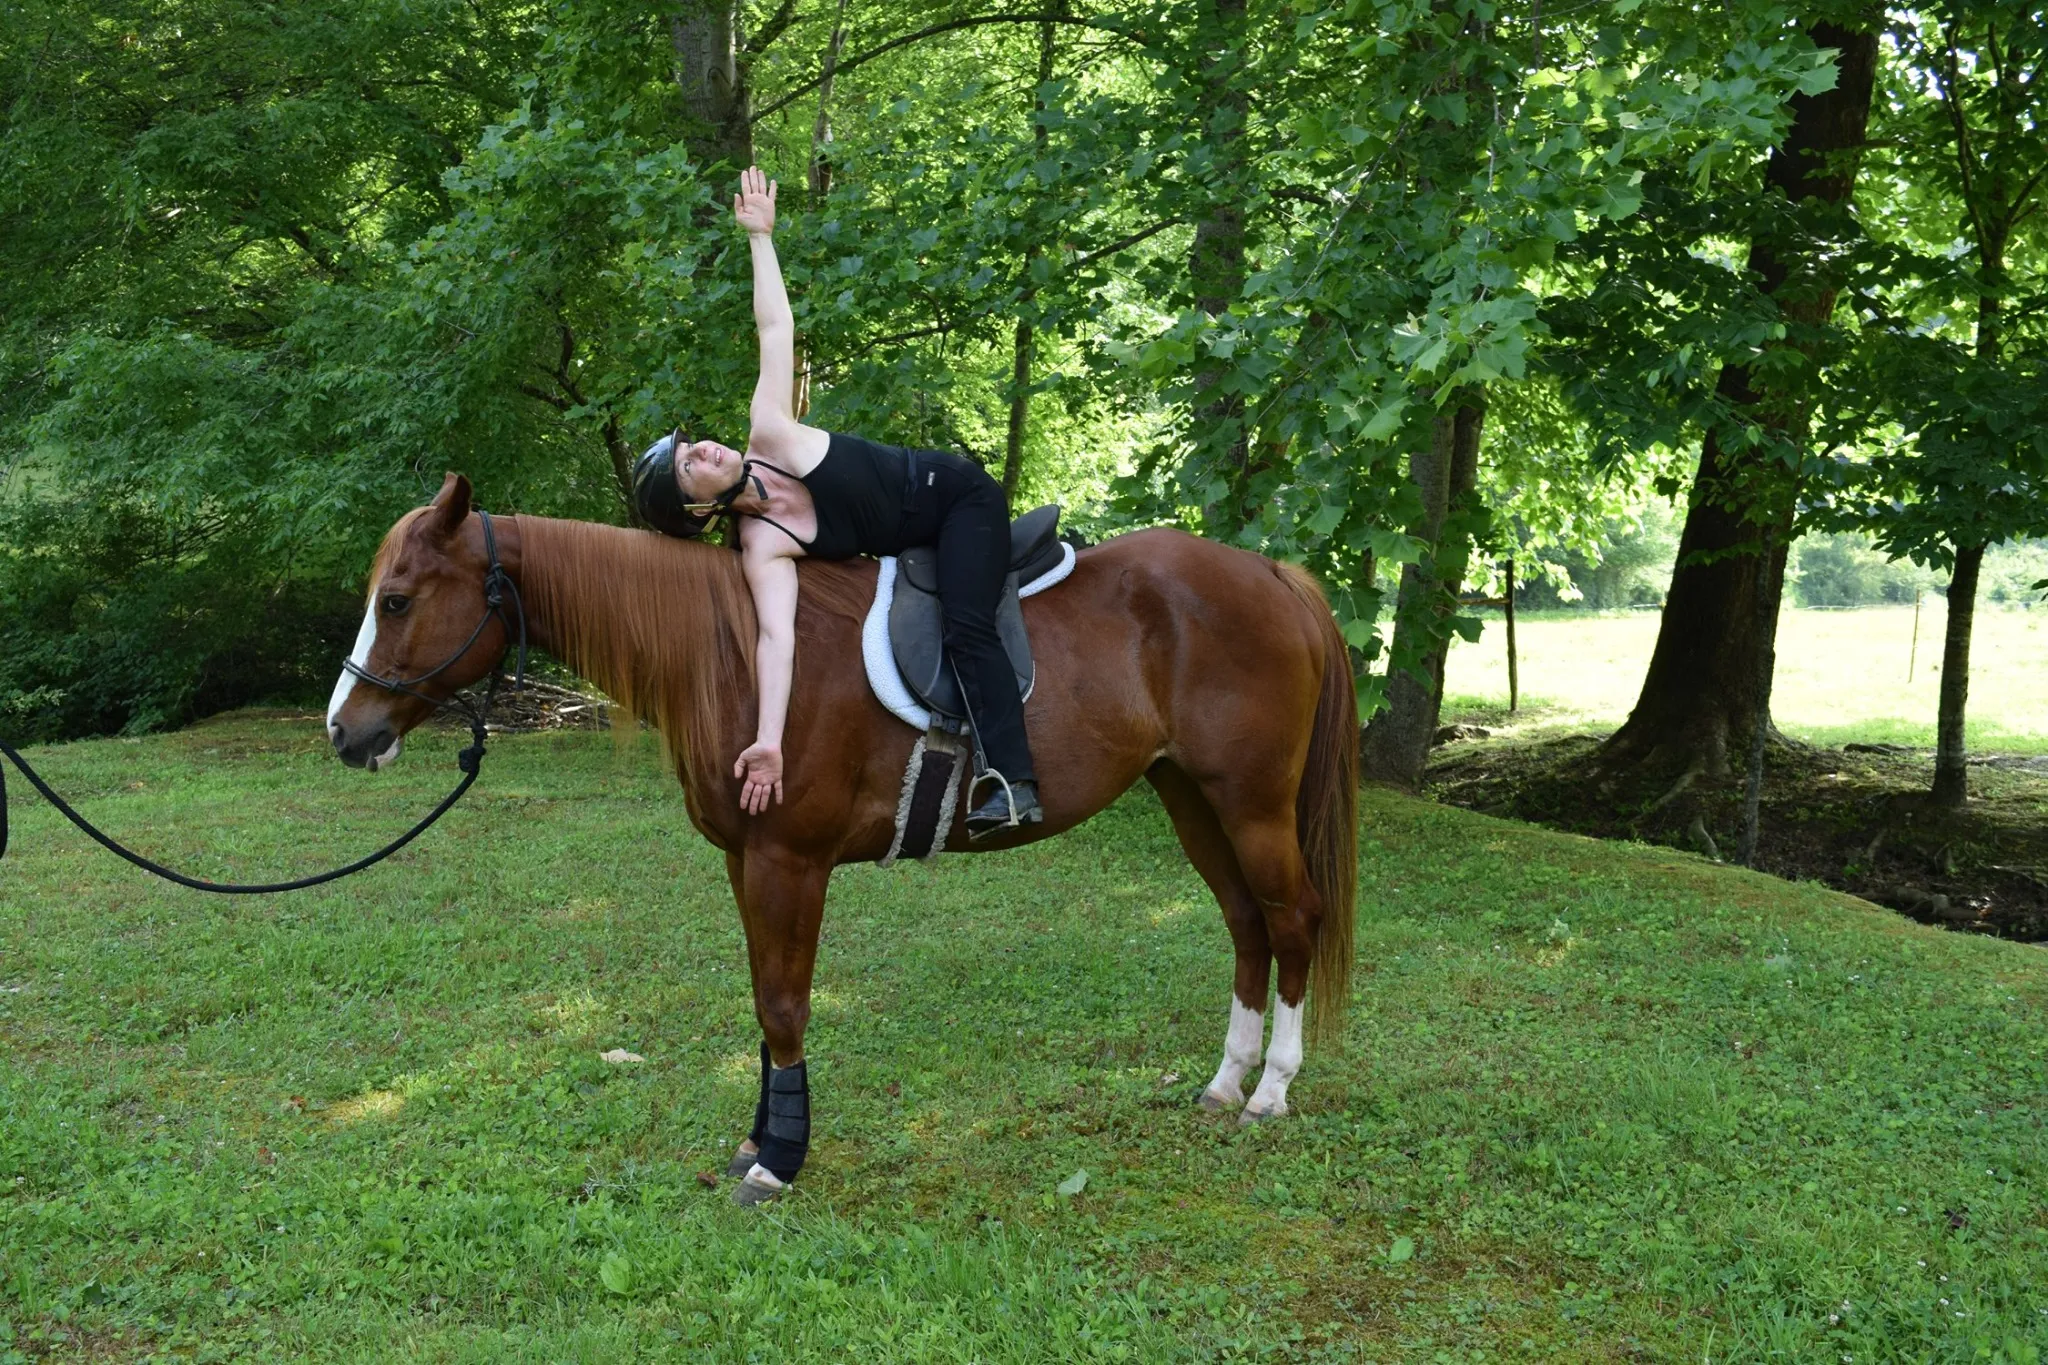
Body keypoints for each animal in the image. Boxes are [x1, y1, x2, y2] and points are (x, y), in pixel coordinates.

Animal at [326, 473, 1358, 1200]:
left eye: (400, 599)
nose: (344, 730)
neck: (736, 652)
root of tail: (1274, 575)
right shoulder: (746, 862)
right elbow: (762, 1001)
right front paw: (760, 1135)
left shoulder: (791, 861)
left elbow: (785, 1006)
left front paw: (779, 1158)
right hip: (1191, 798)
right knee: (1247, 925)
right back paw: (1225, 1082)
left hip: (1250, 802)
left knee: (1292, 919)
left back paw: (1272, 1090)